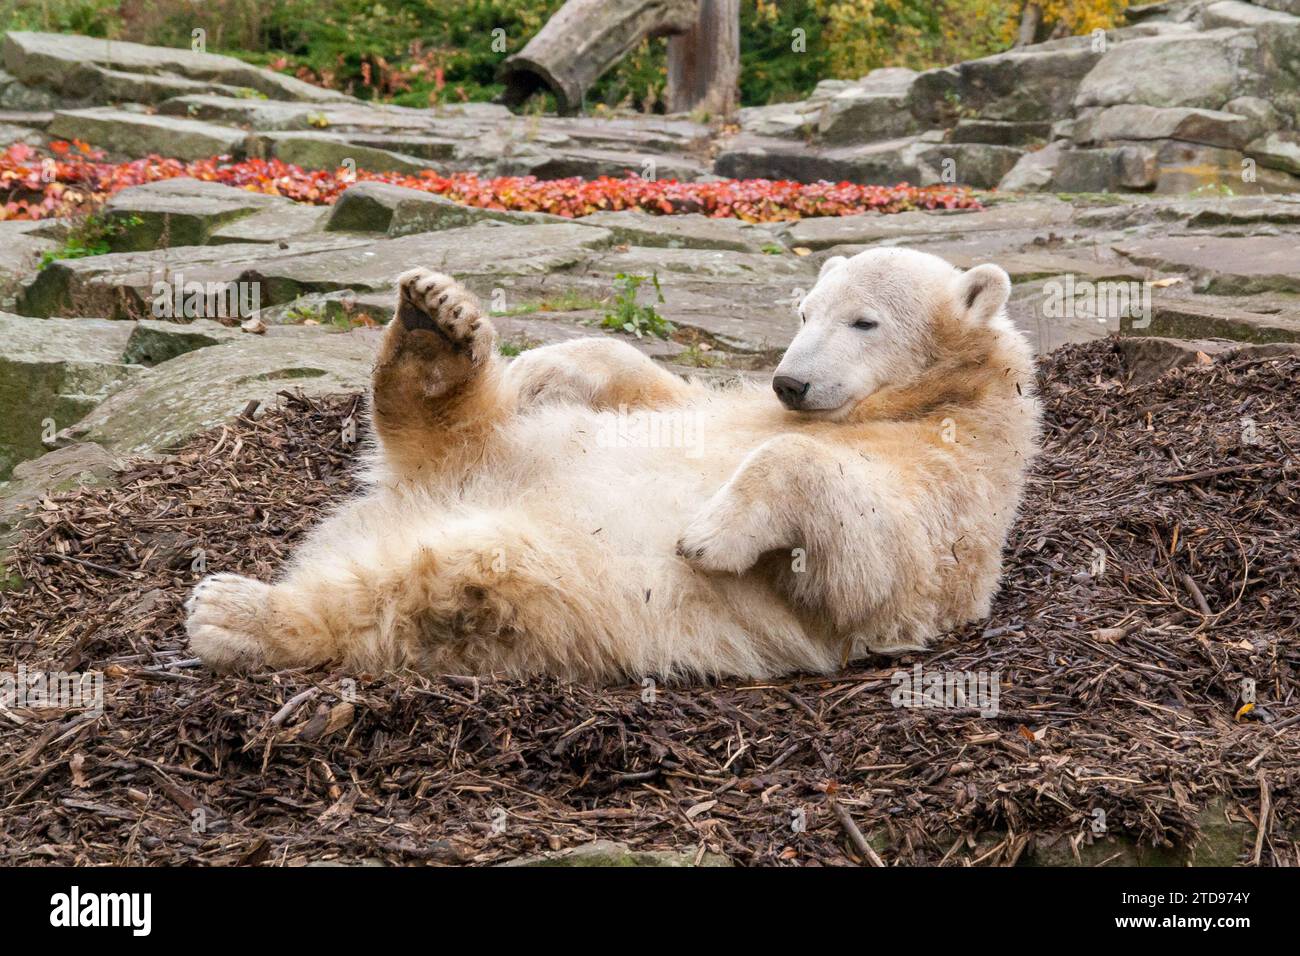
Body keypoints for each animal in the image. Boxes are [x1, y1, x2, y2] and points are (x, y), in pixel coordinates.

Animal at [185, 246, 1040, 682]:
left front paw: (712, 533)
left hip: (554, 571)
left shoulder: (961, 481)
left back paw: (235, 612)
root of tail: (405, 503)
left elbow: (877, 558)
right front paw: (545, 365)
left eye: (864, 321)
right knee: (460, 434)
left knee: (426, 589)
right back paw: (436, 327)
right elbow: (663, 392)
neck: (922, 400)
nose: (790, 381)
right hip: (517, 452)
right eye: (803, 312)